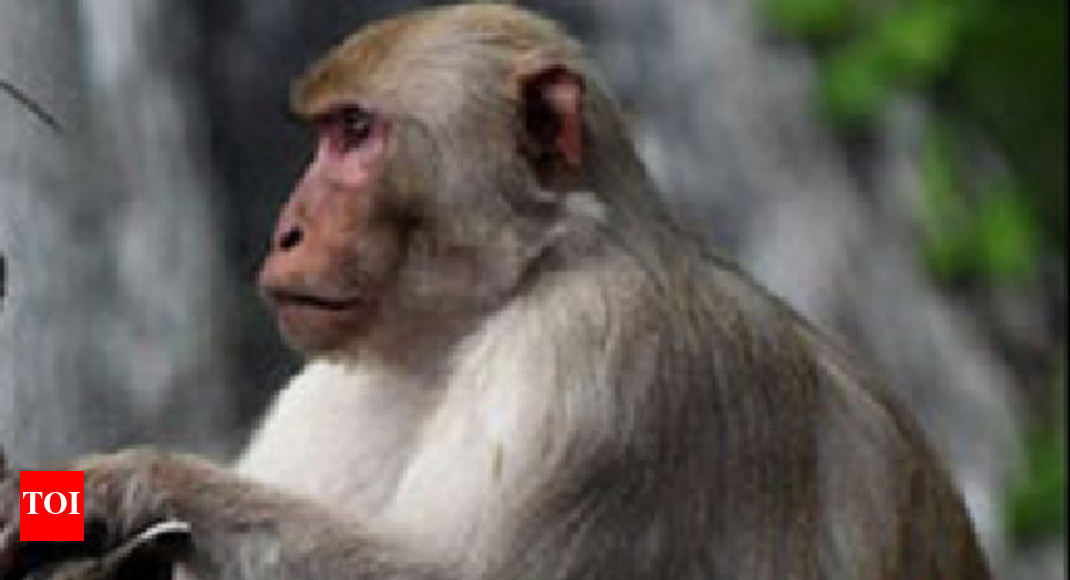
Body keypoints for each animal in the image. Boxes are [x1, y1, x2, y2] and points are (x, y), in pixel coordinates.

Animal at [0, 4, 992, 580]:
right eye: (325, 132)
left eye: (355, 130)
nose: (286, 230)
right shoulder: (332, 388)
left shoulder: (600, 349)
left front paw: (126, 485)